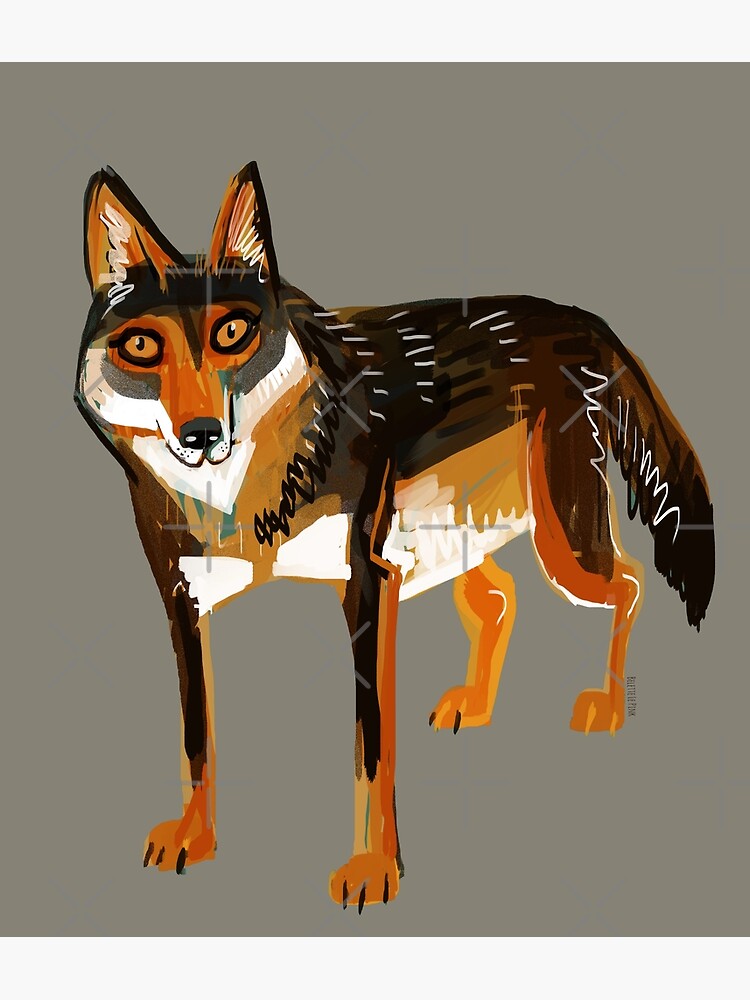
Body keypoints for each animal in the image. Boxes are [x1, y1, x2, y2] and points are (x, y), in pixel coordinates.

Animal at [75, 161, 714, 910]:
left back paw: (610, 707)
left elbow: (371, 749)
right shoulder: (186, 608)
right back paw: (477, 703)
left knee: (630, 581)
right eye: (143, 346)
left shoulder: (367, 589)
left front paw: (374, 868)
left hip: (561, 549)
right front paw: (195, 838)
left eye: (231, 333)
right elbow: (196, 742)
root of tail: (587, 320)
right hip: (448, 548)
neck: (238, 504)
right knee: (502, 600)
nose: (202, 434)